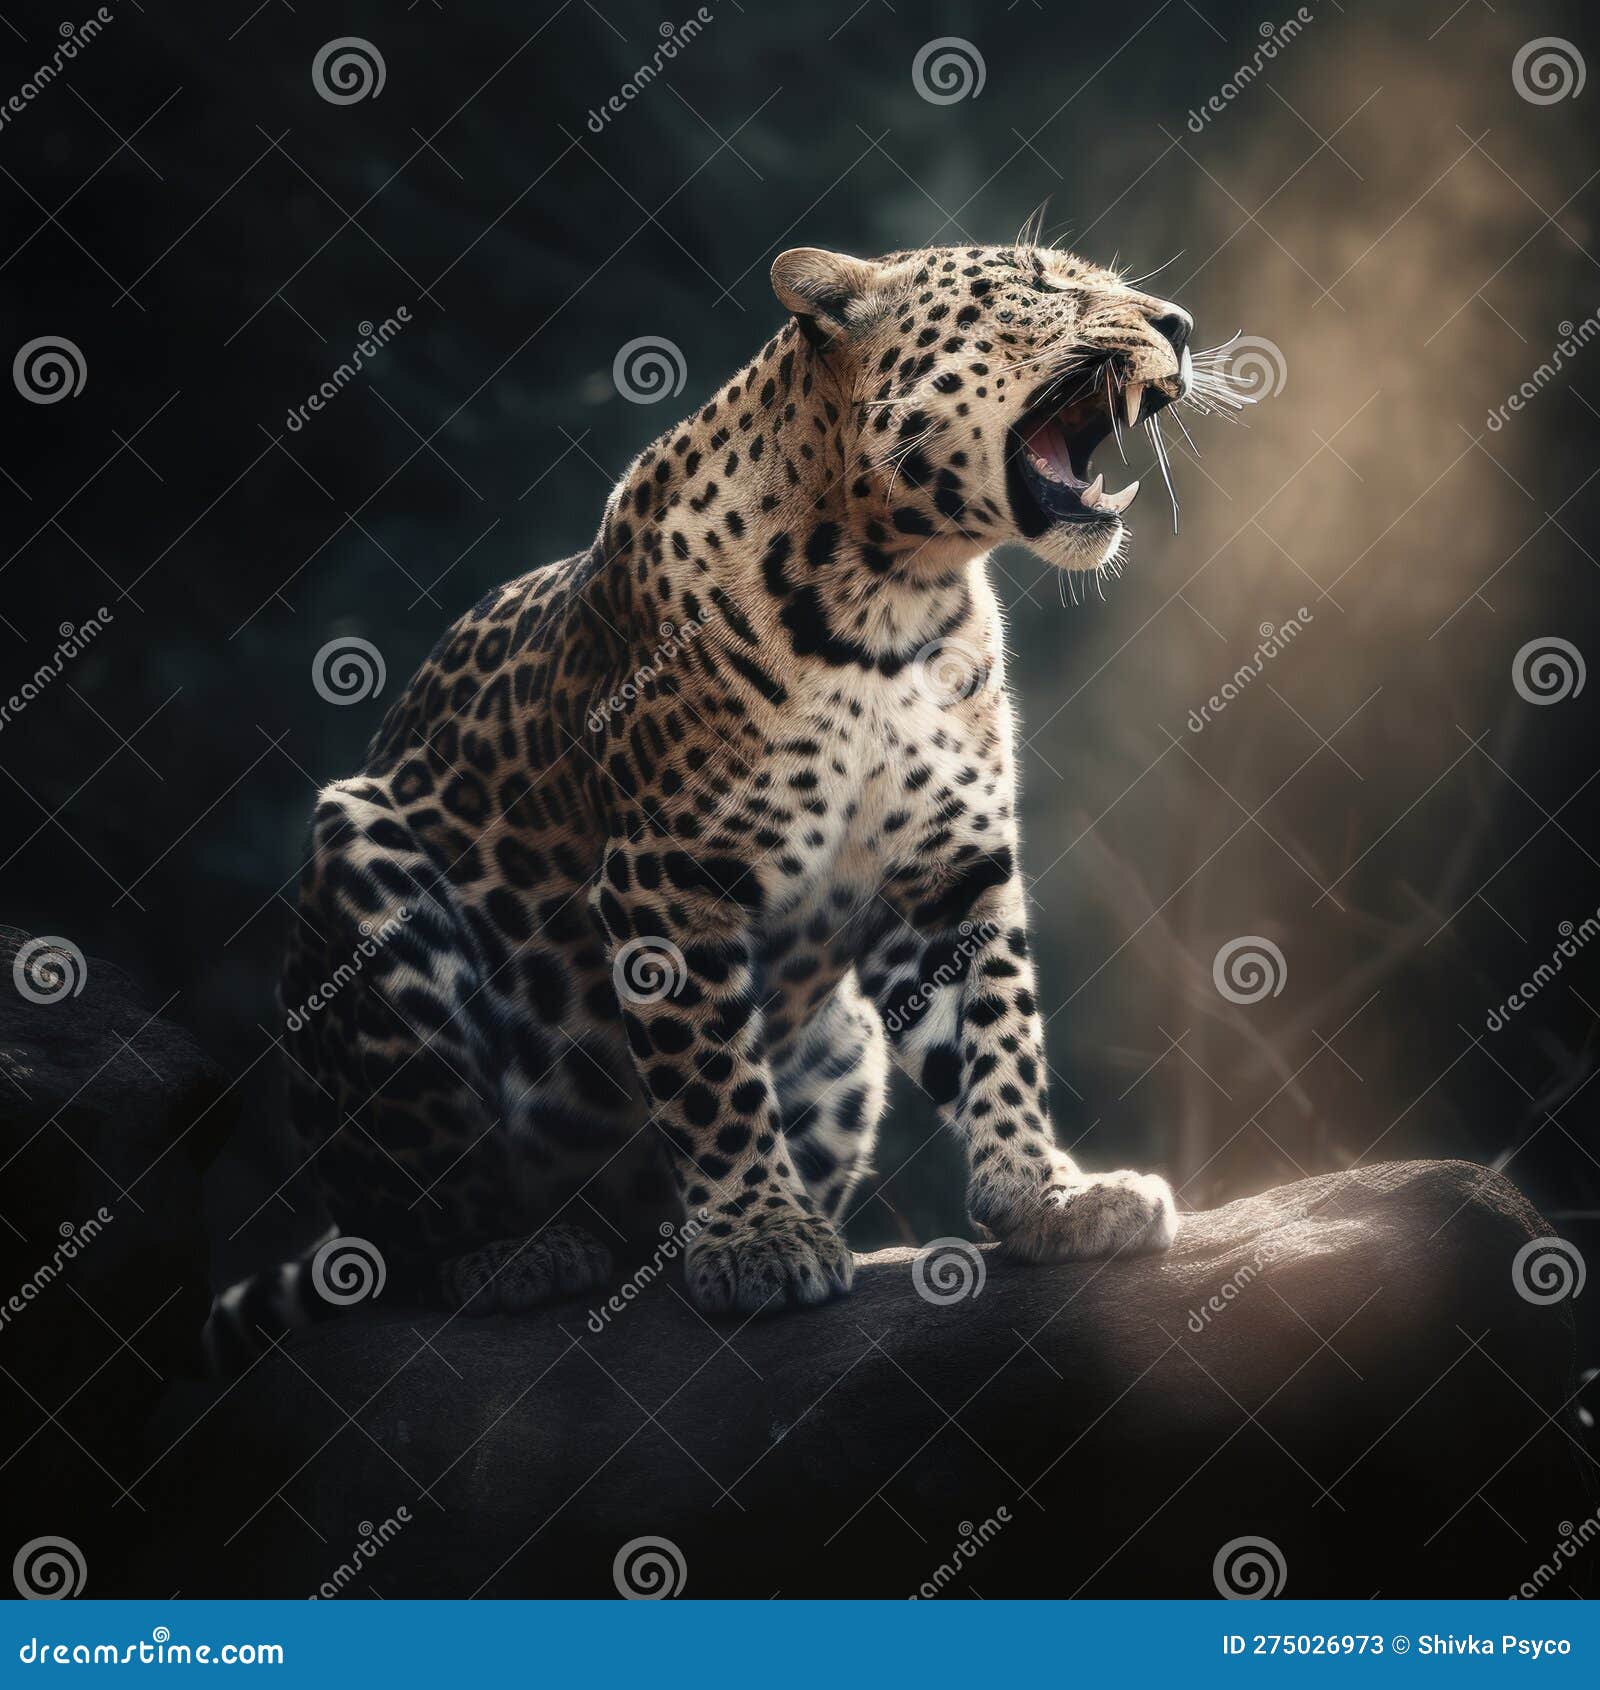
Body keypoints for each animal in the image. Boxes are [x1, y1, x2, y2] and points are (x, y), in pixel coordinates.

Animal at [206, 238, 1203, 1367]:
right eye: (1041, 285)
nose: (1179, 325)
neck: (891, 594)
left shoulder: (950, 866)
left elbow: (996, 1030)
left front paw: (1048, 1197)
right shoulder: (669, 875)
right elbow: (711, 1075)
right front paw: (761, 1237)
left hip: (844, 1038)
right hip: (364, 862)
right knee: (405, 1228)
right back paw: (512, 1254)